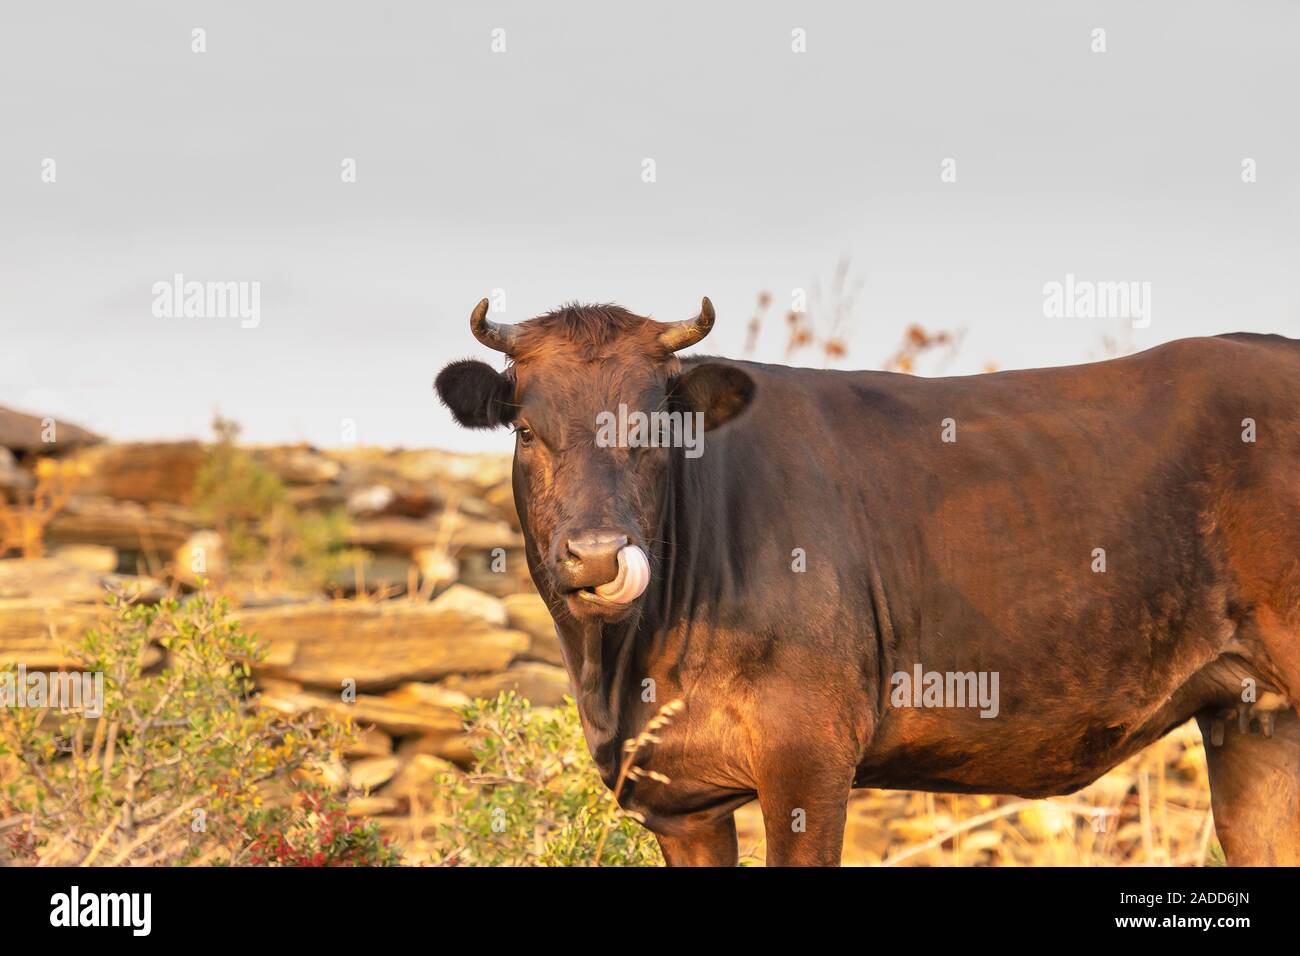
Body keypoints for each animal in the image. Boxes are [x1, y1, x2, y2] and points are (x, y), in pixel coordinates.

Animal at [434, 297, 1300, 866]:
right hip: (1254, 716)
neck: (625, 670)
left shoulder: (808, 755)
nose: (596, 556)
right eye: (525, 429)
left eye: (655, 426)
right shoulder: (679, 800)